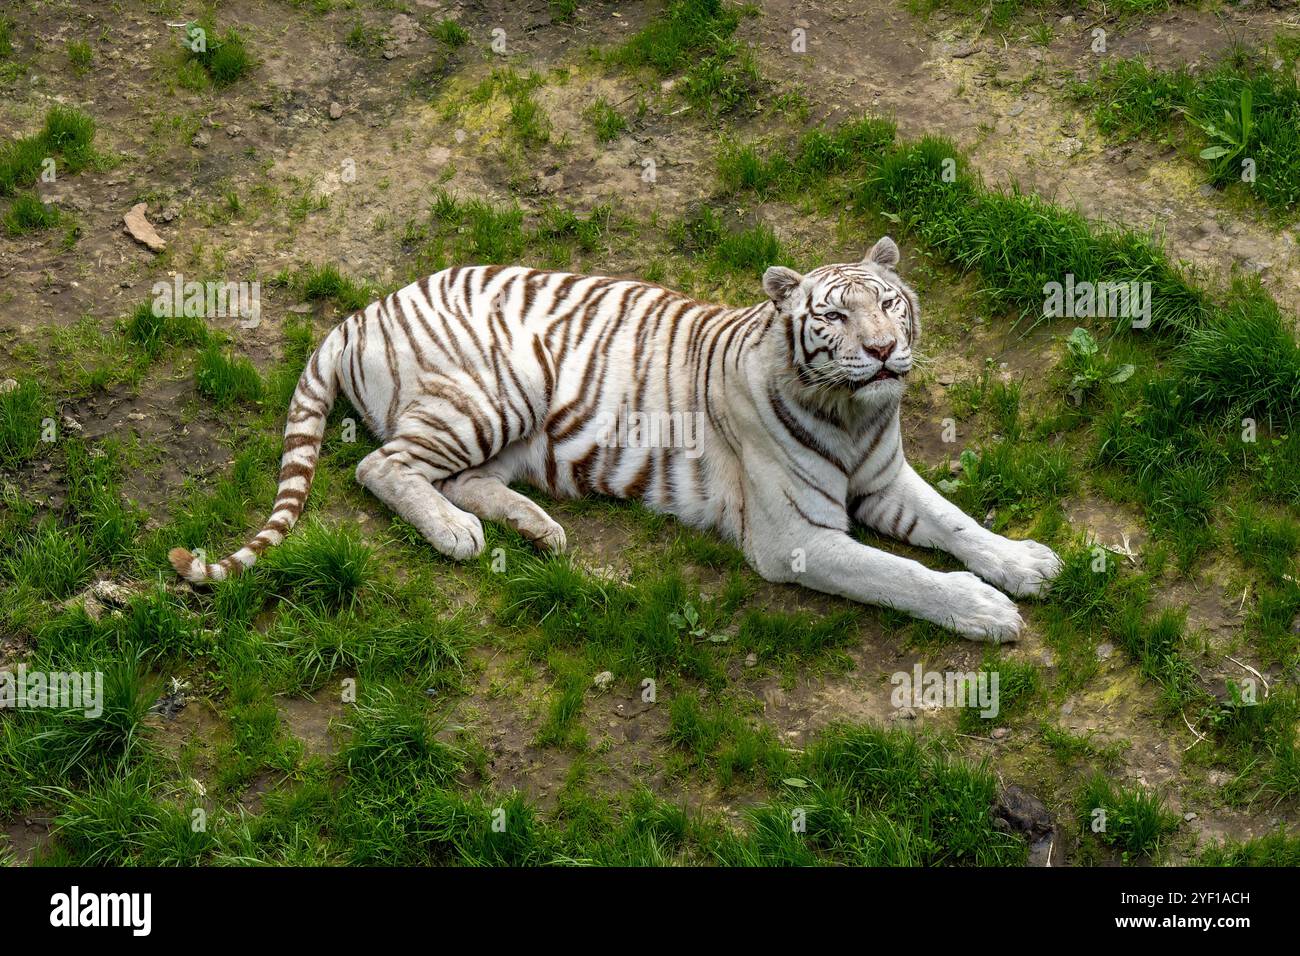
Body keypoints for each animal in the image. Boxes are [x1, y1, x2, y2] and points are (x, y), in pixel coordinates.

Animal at [169, 236, 1061, 641]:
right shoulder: (795, 539)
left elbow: (954, 522)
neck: (854, 413)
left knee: (455, 475)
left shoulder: (883, 479)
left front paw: (1024, 562)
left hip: (511, 426)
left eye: (889, 303)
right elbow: (898, 573)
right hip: (496, 389)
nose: (880, 351)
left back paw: (537, 529)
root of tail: (362, 311)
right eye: (834, 316)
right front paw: (983, 609)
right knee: (384, 467)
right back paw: (458, 534)